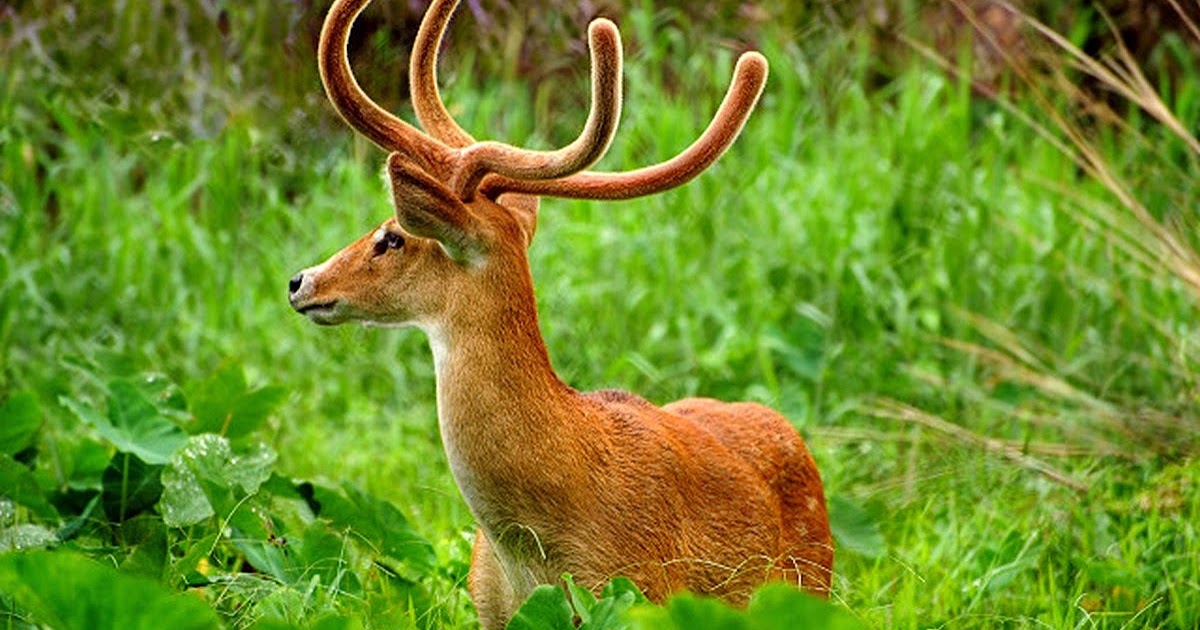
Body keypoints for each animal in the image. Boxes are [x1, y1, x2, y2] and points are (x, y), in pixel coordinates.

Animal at [288, 1, 833, 627]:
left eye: (392, 236)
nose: (300, 281)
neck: (537, 540)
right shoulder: (488, 607)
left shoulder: (639, 593)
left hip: (812, 592)